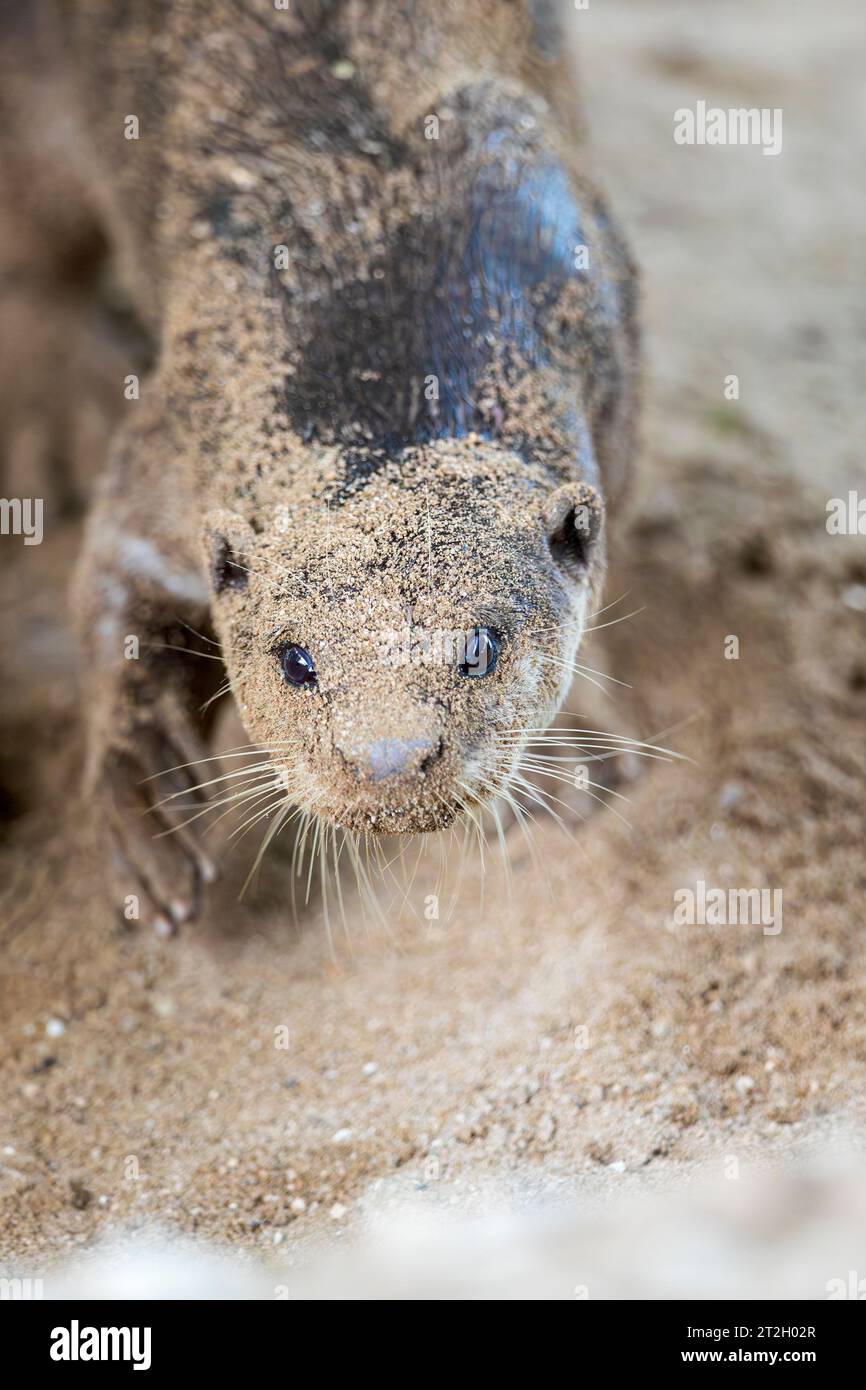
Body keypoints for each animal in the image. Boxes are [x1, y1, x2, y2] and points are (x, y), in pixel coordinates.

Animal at [9, 1, 639, 931]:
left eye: (481, 648)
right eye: (295, 661)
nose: (388, 758)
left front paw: (566, 754)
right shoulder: (178, 437)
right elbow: (114, 581)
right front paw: (146, 804)